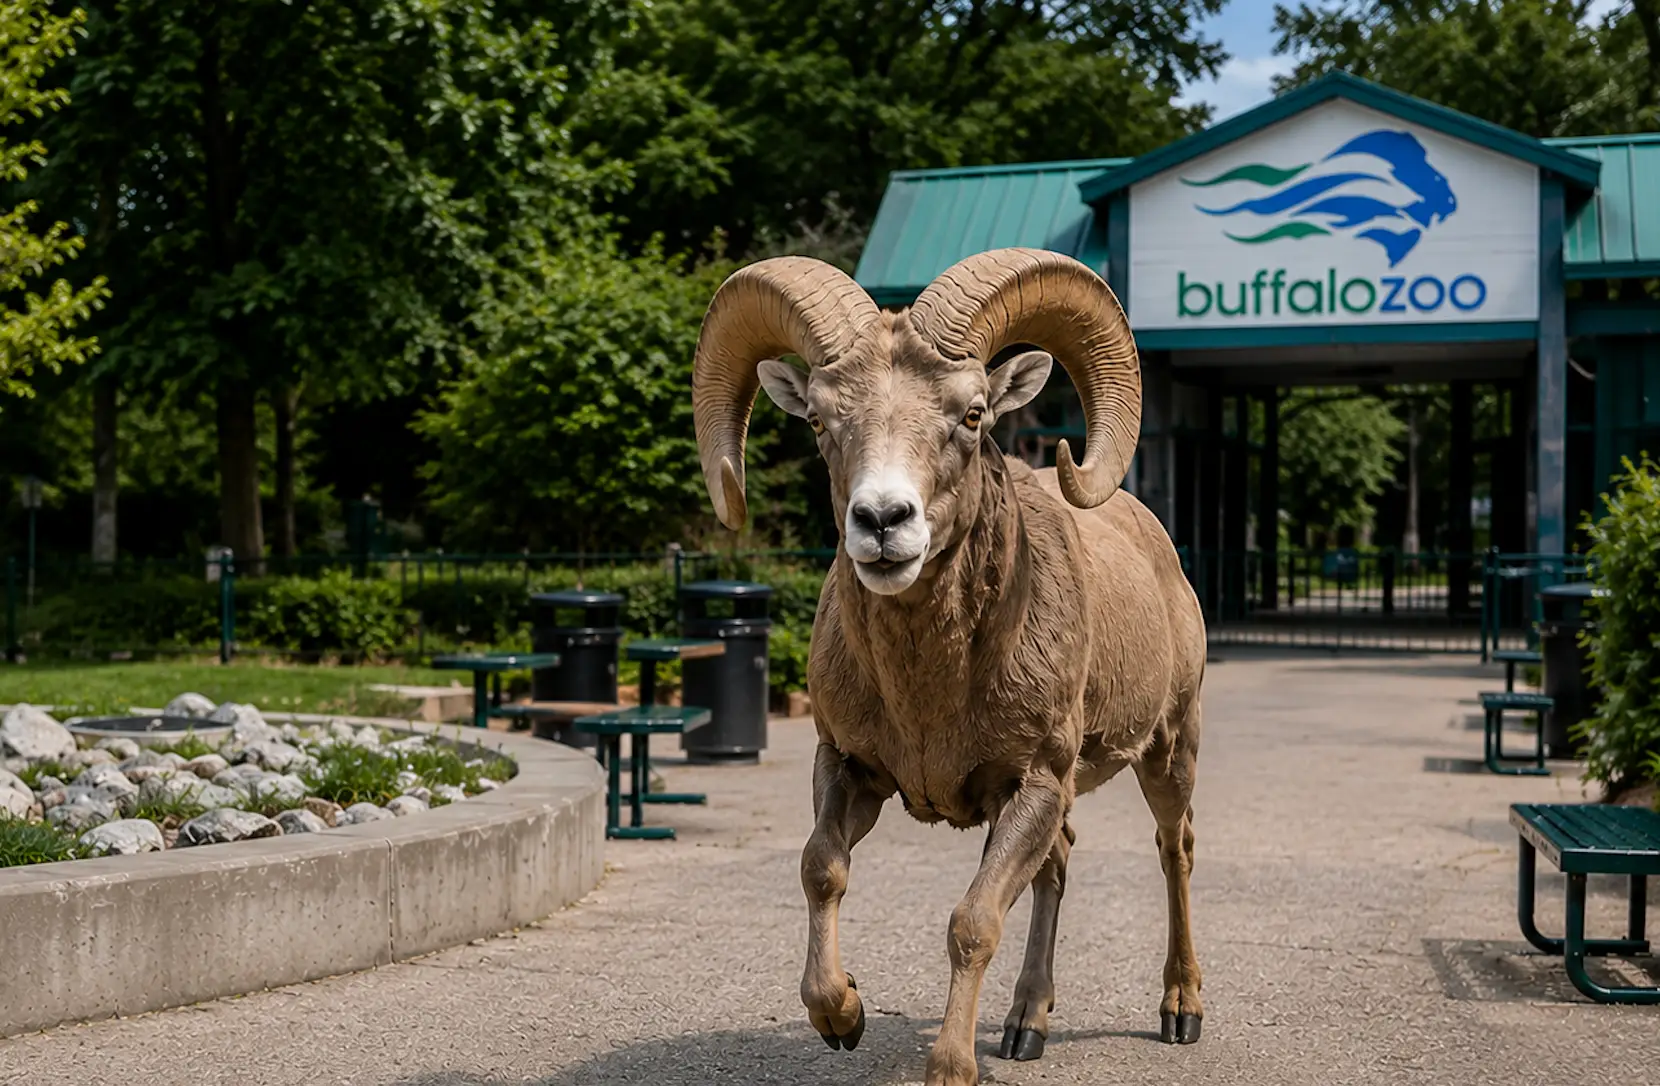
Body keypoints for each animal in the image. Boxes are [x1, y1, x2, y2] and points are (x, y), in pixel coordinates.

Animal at [690, 247, 1207, 1086]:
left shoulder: (1030, 784)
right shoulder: (849, 768)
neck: (930, 693)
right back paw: (1026, 1026)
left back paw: (1181, 1011)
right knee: (1060, 865)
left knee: (1175, 849)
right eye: (819, 421)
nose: (882, 521)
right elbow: (820, 869)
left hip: (1169, 751)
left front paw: (951, 1067)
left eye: (971, 415)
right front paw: (842, 1016)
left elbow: (972, 922)